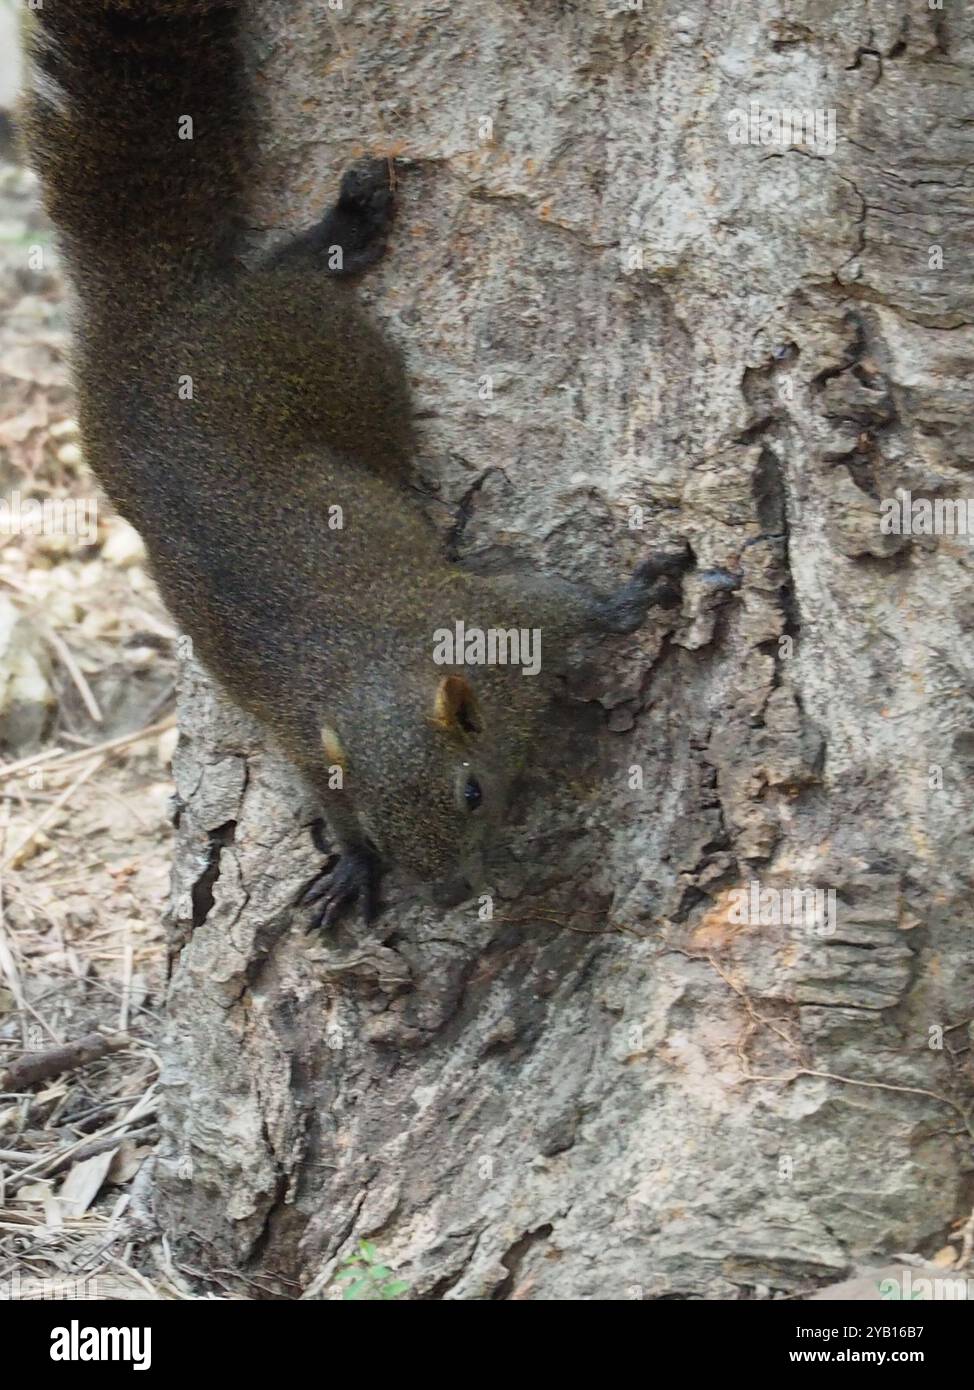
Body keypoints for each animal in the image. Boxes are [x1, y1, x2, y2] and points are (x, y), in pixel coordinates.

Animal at [22, 0, 691, 928]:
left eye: (472, 793)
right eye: (374, 818)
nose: (448, 894)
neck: (374, 677)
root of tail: (147, 316)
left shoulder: (499, 619)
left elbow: (567, 606)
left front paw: (636, 596)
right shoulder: (311, 748)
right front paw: (350, 865)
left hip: (328, 350)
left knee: (294, 275)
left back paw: (347, 229)